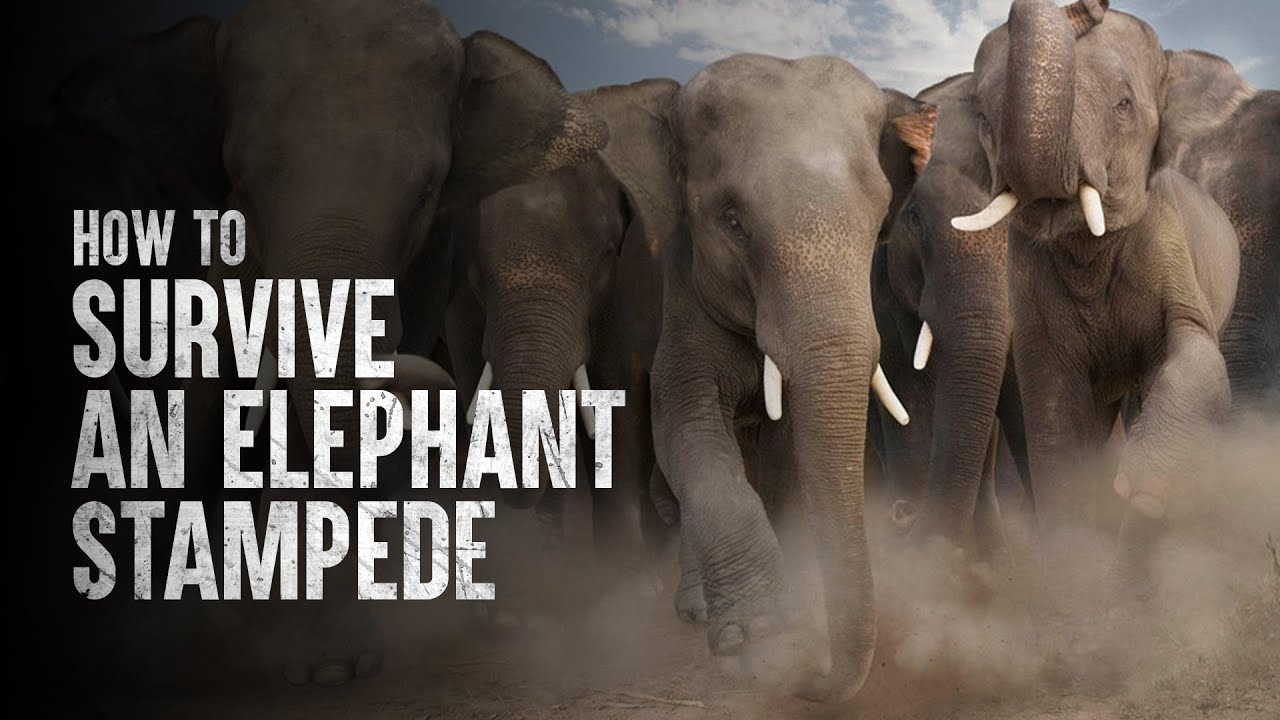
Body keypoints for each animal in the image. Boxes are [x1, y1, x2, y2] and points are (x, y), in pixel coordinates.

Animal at [611, 55, 936, 701]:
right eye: (732, 221)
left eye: (876, 223)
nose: (810, 681)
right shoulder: (679, 291)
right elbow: (684, 422)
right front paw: (760, 635)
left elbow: (785, 450)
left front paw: (784, 625)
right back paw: (688, 606)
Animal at [951, 0, 1240, 566]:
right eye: (985, 121)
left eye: (1124, 105)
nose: (1089, 6)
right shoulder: (1029, 283)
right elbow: (1054, 409)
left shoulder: (1168, 236)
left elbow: (1196, 349)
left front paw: (1142, 491)